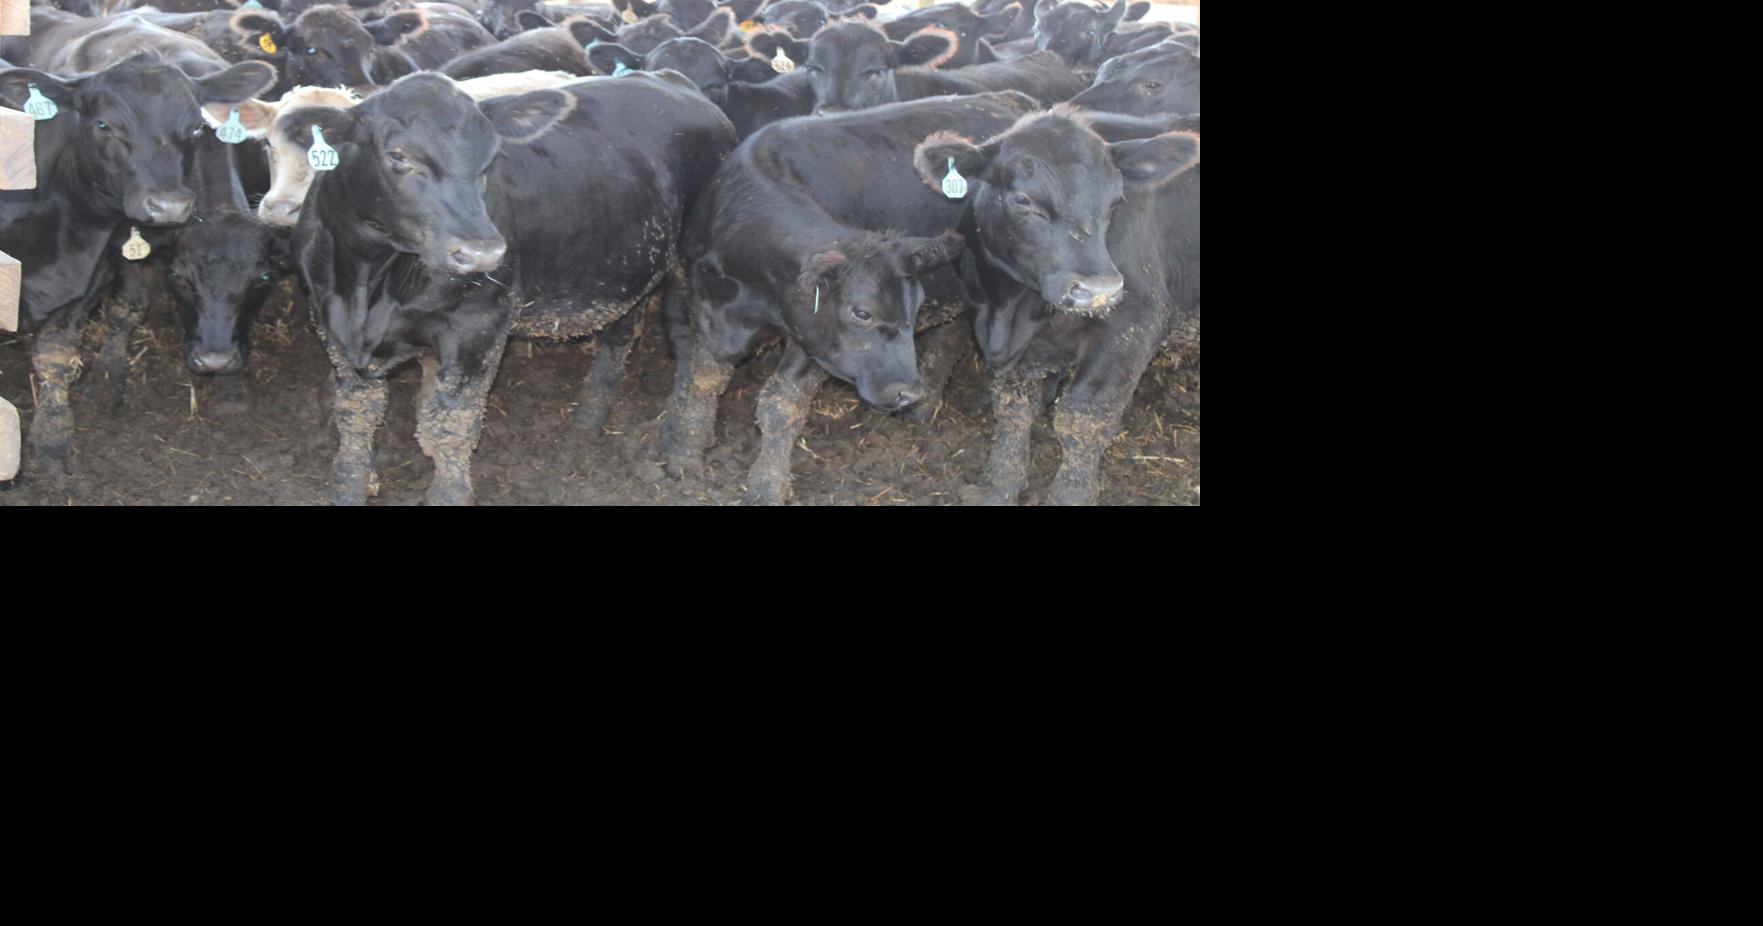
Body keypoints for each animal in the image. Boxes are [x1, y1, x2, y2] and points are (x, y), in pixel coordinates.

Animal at [0, 57, 277, 484]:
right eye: (103, 125)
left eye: (195, 126)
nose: (168, 206)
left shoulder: (93, 273)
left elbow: (57, 355)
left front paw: (53, 446)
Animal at [276, 71, 735, 504]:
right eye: (398, 155)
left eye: (489, 159)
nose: (482, 251)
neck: (367, 281)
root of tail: (672, 81)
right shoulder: (330, 326)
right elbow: (357, 414)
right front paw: (347, 488)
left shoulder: (479, 325)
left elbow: (451, 425)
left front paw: (448, 495)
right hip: (624, 264)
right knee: (620, 337)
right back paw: (589, 420)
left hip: (696, 273)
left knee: (700, 363)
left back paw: (682, 449)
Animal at [660, 92, 1040, 504]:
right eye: (861, 313)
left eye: (914, 308)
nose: (906, 392)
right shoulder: (705, 308)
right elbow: (703, 380)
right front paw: (685, 454)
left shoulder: (811, 337)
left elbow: (780, 403)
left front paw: (766, 485)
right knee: (950, 337)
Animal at [913, 107, 1199, 504]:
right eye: (1022, 200)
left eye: (1115, 202)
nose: (1099, 289)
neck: (1011, 310)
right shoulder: (1025, 348)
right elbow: (1014, 409)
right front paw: (1000, 485)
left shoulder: (1132, 326)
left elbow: (1084, 417)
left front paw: (1070, 494)